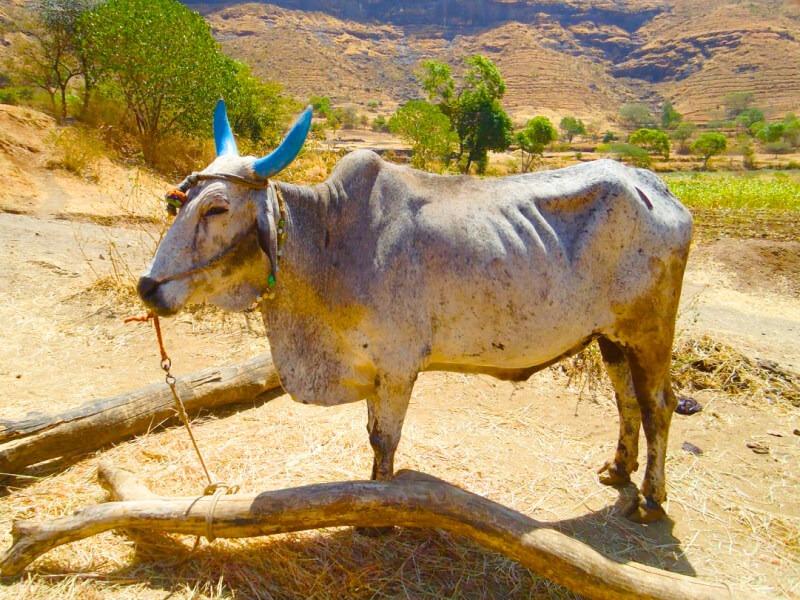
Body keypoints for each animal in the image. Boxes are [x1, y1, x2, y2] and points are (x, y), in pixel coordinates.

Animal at [138, 101, 693, 524]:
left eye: (216, 207)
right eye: (177, 202)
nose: (147, 287)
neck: (330, 239)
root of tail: (656, 188)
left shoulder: (398, 368)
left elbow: (385, 441)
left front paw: (377, 516)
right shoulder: (371, 370)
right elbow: (371, 437)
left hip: (650, 332)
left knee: (658, 405)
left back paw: (651, 496)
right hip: (611, 336)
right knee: (626, 401)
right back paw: (618, 470)